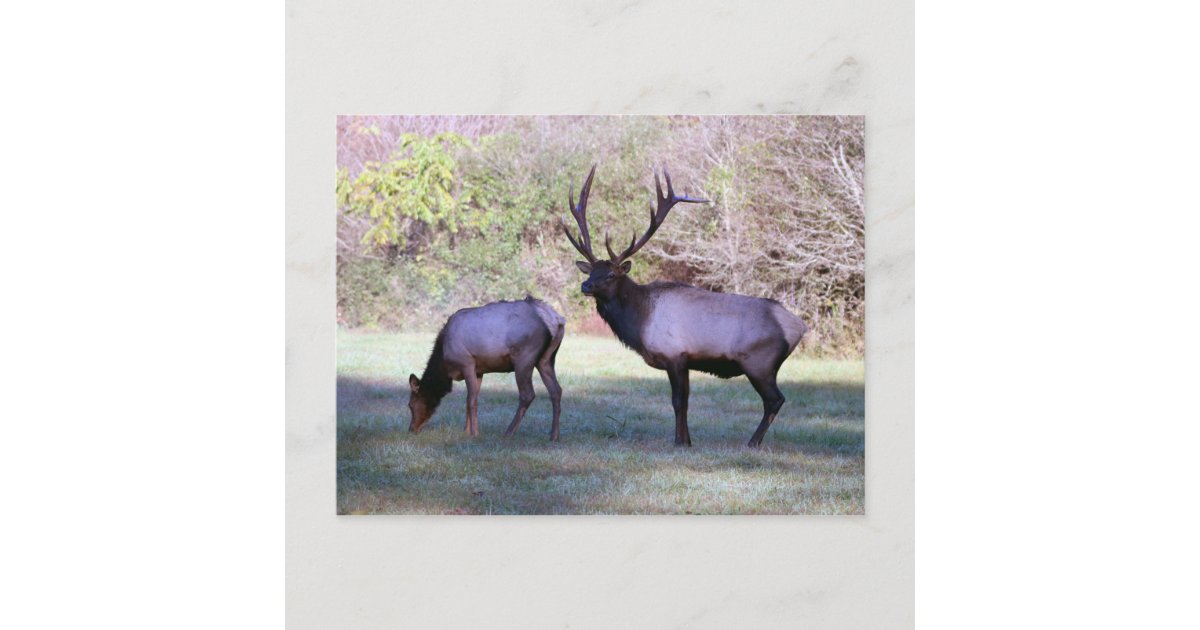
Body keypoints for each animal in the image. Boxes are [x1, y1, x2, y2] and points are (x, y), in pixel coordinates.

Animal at [407, 296, 566, 441]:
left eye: (411, 404)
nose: (411, 429)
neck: (444, 364)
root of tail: (556, 320)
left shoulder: (467, 363)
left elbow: (471, 400)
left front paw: (474, 433)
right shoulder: (479, 371)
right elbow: (471, 398)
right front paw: (467, 430)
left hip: (524, 357)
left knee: (528, 394)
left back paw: (508, 433)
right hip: (546, 360)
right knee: (556, 390)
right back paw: (554, 436)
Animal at [562, 165, 809, 448]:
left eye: (611, 274)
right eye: (591, 271)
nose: (586, 286)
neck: (639, 321)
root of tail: (800, 326)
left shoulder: (674, 355)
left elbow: (678, 402)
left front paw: (679, 442)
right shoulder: (686, 361)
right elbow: (687, 402)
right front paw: (688, 440)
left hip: (760, 362)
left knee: (775, 400)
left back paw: (753, 442)